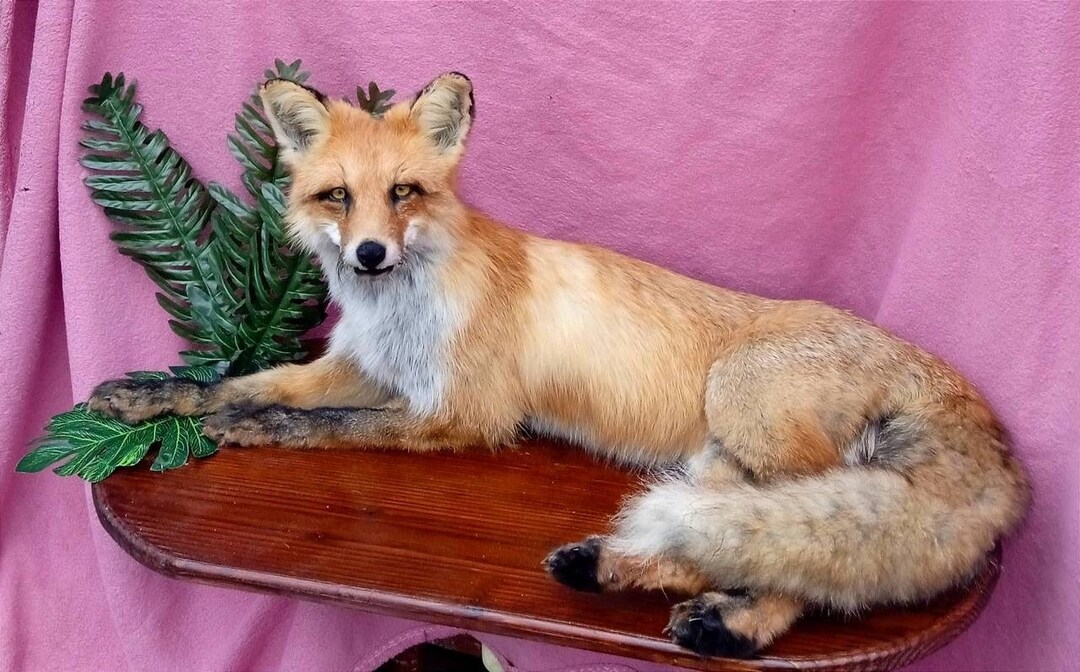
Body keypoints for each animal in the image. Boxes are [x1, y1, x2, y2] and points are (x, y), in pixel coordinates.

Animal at [89, 72, 1030, 658]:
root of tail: (960, 394)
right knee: (748, 546)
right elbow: (240, 381)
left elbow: (317, 424)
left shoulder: (461, 413)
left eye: (403, 194)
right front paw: (151, 394)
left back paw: (726, 625)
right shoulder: (365, 366)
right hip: (715, 469)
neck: (402, 311)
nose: (366, 255)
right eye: (338, 197)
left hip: (745, 419)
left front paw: (249, 428)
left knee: (810, 569)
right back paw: (610, 569)